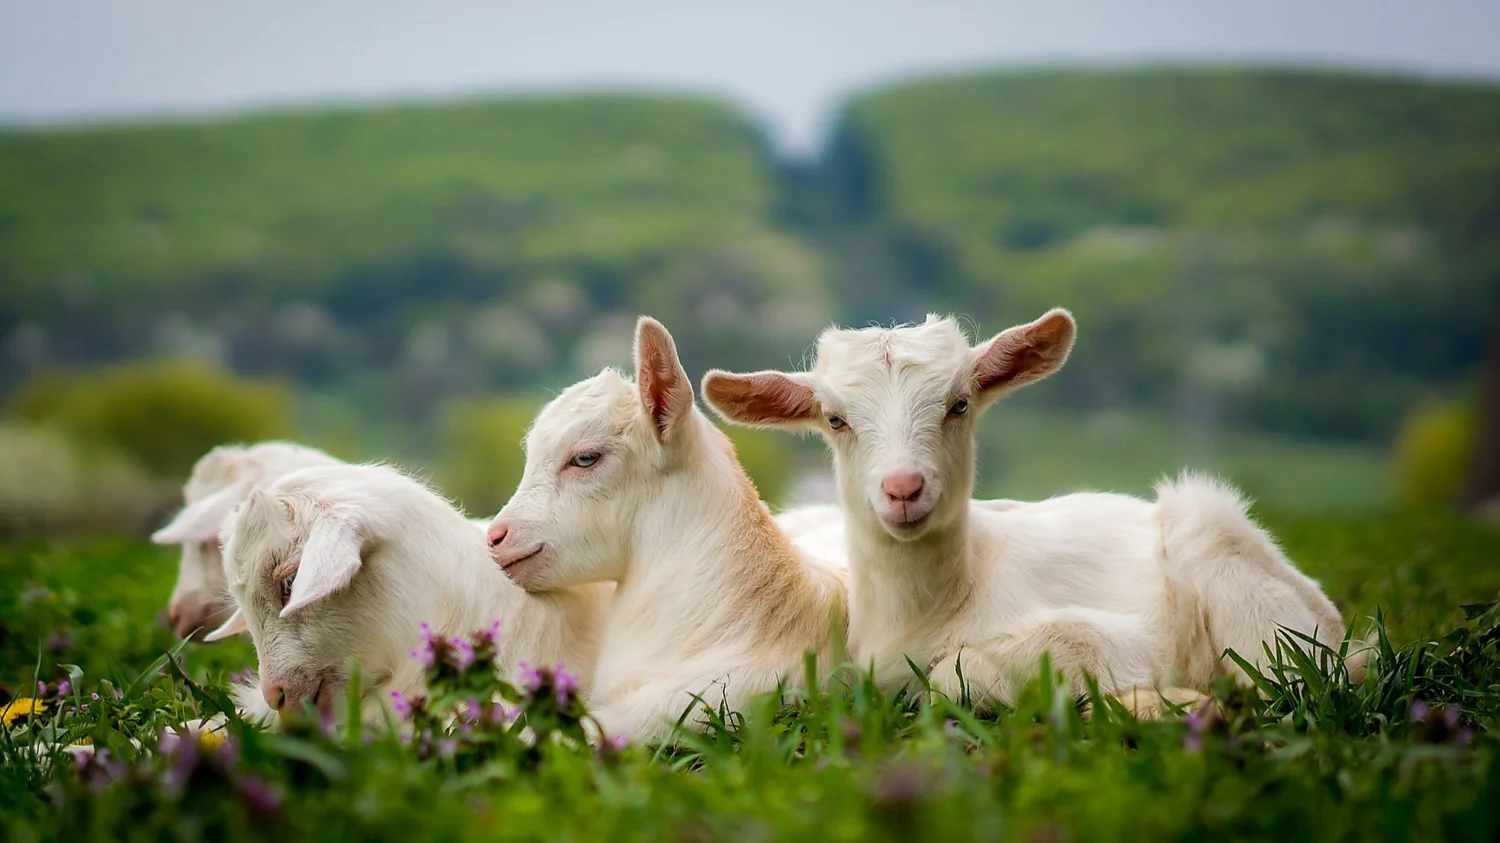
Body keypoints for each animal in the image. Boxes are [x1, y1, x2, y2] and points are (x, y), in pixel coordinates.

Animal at [703, 309, 1358, 715]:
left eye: (959, 404)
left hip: (1232, 563)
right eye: (835, 420)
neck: (933, 610)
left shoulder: (1127, 638)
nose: (903, 489)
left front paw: (1164, 701)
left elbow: (962, 671)